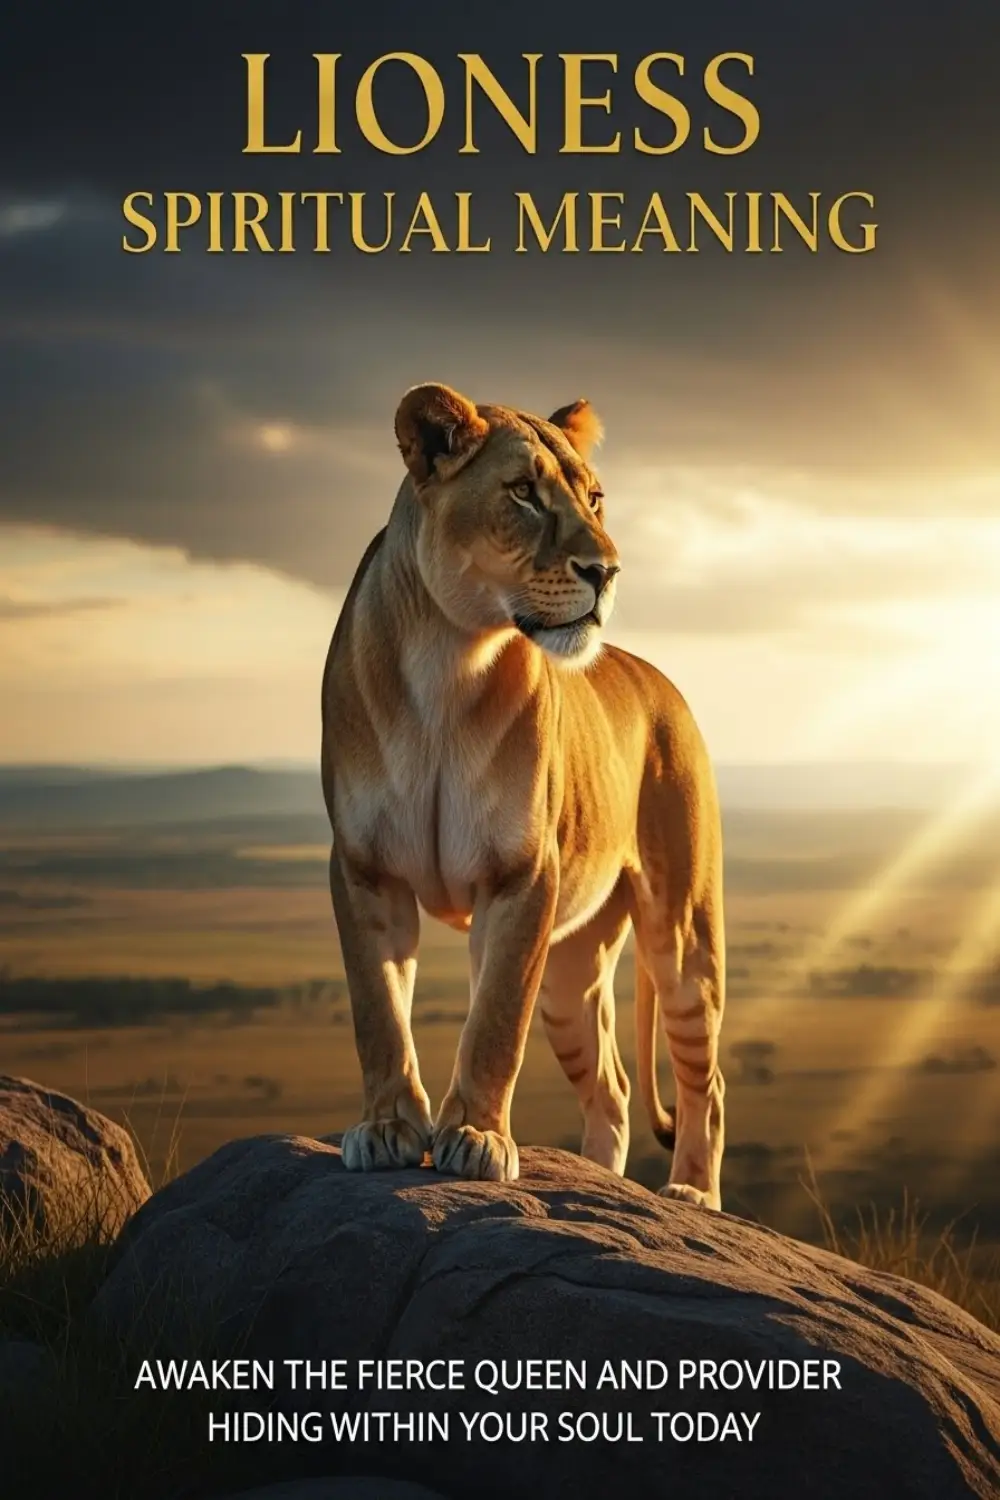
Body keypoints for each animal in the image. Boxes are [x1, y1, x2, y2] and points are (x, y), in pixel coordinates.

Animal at [321, 383, 726, 1208]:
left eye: (595, 497)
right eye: (523, 494)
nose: (607, 569)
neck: (446, 659)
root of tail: (663, 683)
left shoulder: (521, 875)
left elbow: (495, 1023)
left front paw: (475, 1138)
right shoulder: (363, 869)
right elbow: (378, 1008)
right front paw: (387, 1128)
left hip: (683, 939)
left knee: (708, 1085)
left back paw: (693, 1195)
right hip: (571, 974)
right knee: (612, 1090)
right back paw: (601, 1184)